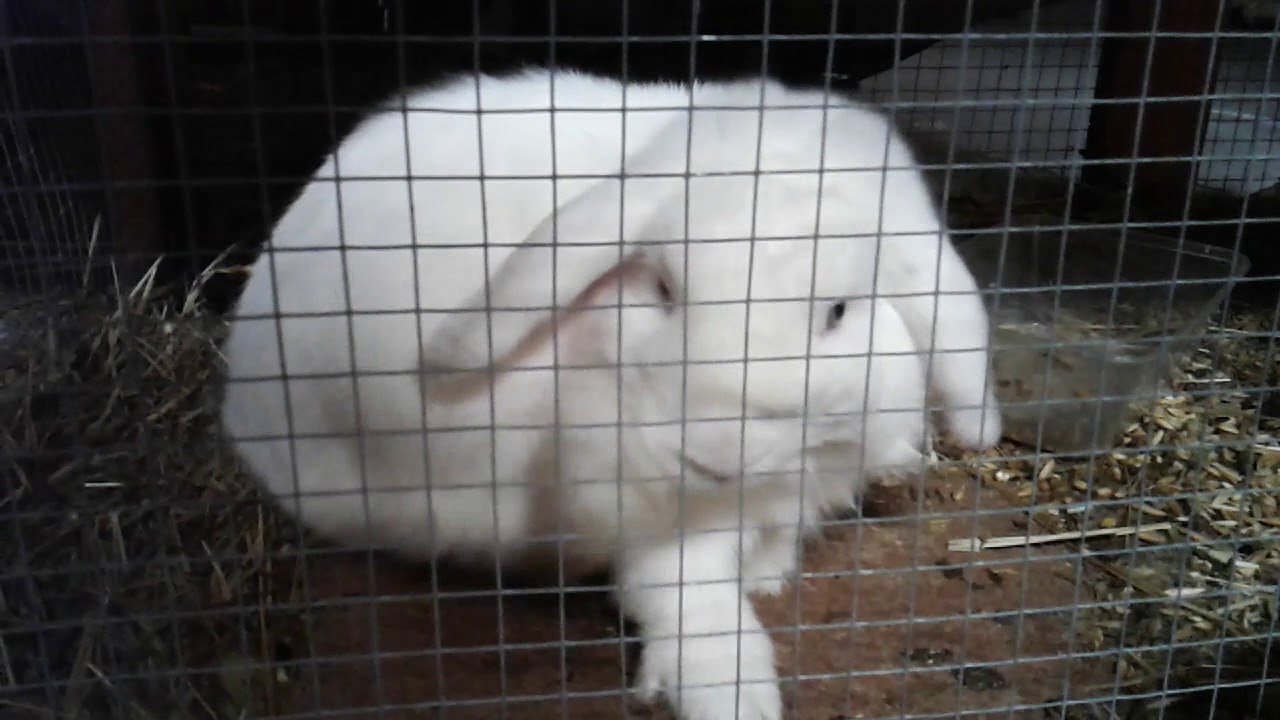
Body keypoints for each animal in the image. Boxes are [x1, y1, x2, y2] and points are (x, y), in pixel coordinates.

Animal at [219, 67, 999, 720]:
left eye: (838, 311)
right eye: (662, 288)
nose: (713, 454)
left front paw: (769, 580)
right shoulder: (654, 524)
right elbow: (693, 611)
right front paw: (733, 695)